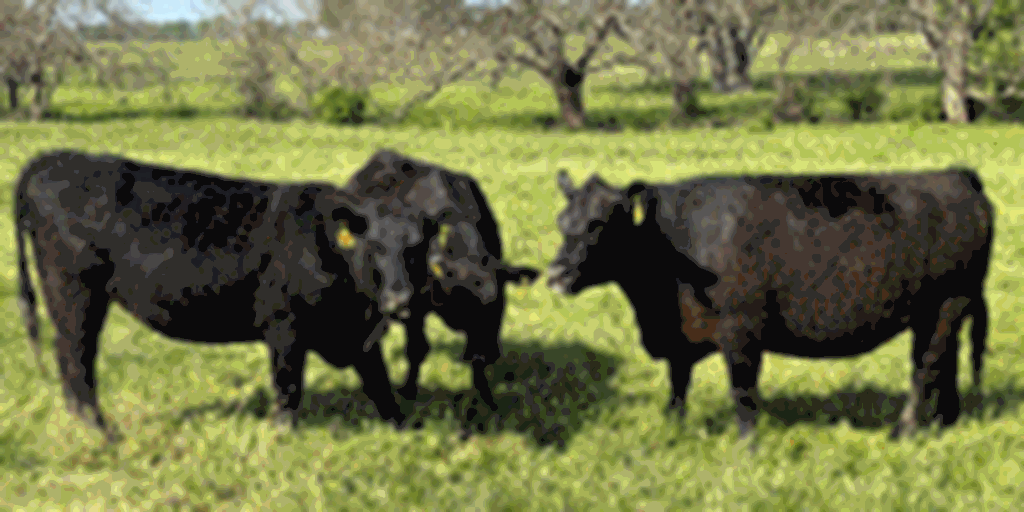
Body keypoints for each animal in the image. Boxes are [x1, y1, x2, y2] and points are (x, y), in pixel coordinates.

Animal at [14, 150, 432, 441]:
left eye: (416, 249)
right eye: (375, 247)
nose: (400, 301)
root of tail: (52, 159)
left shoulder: (356, 335)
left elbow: (380, 384)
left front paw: (408, 431)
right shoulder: (285, 327)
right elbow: (288, 387)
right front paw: (283, 436)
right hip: (74, 294)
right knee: (76, 357)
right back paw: (101, 432)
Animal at [341, 150, 540, 424]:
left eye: (500, 304)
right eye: (469, 304)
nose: (492, 351)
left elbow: (476, 364)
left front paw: (486, 401)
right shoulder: (416, 308)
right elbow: (417, 349)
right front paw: (408, 391)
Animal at [546, 168, 993, 442]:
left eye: (600, 223)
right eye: (561, 221)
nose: (555, 275)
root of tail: (957, 175)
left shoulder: (740, 330)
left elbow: (742, 392)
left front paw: (747, 448)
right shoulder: (679, 337)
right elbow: (678, 385)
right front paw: (672, 429)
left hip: (948, 303)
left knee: (925, 368)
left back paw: (904, 430)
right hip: (940, 310)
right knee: (946, 364)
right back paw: (946, 422)